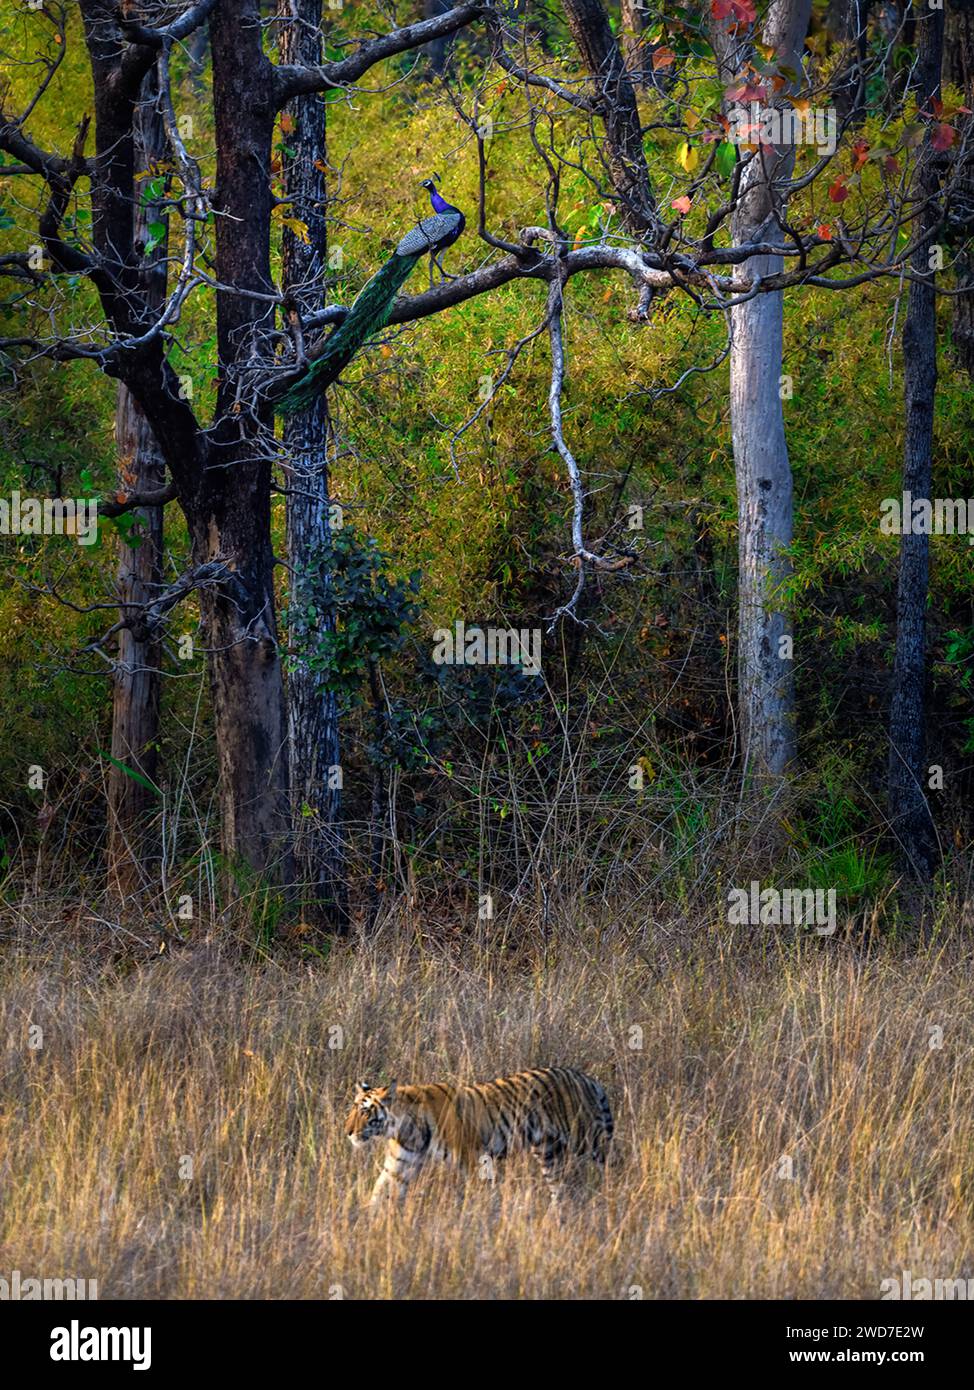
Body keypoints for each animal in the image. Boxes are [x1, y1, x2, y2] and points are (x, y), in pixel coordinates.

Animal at [345, 1065, 613, 1208]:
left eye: (364, 1111)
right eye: (353, 1108)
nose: (347, 1132)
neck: (405, 1128)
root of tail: (586, 1078)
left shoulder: (473, 1160)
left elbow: (479, 1195)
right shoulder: (399, 1164)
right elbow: (381, 1191)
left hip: (588, 1139)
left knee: (612, 1163)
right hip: (548, 1152)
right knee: (559, 1188)